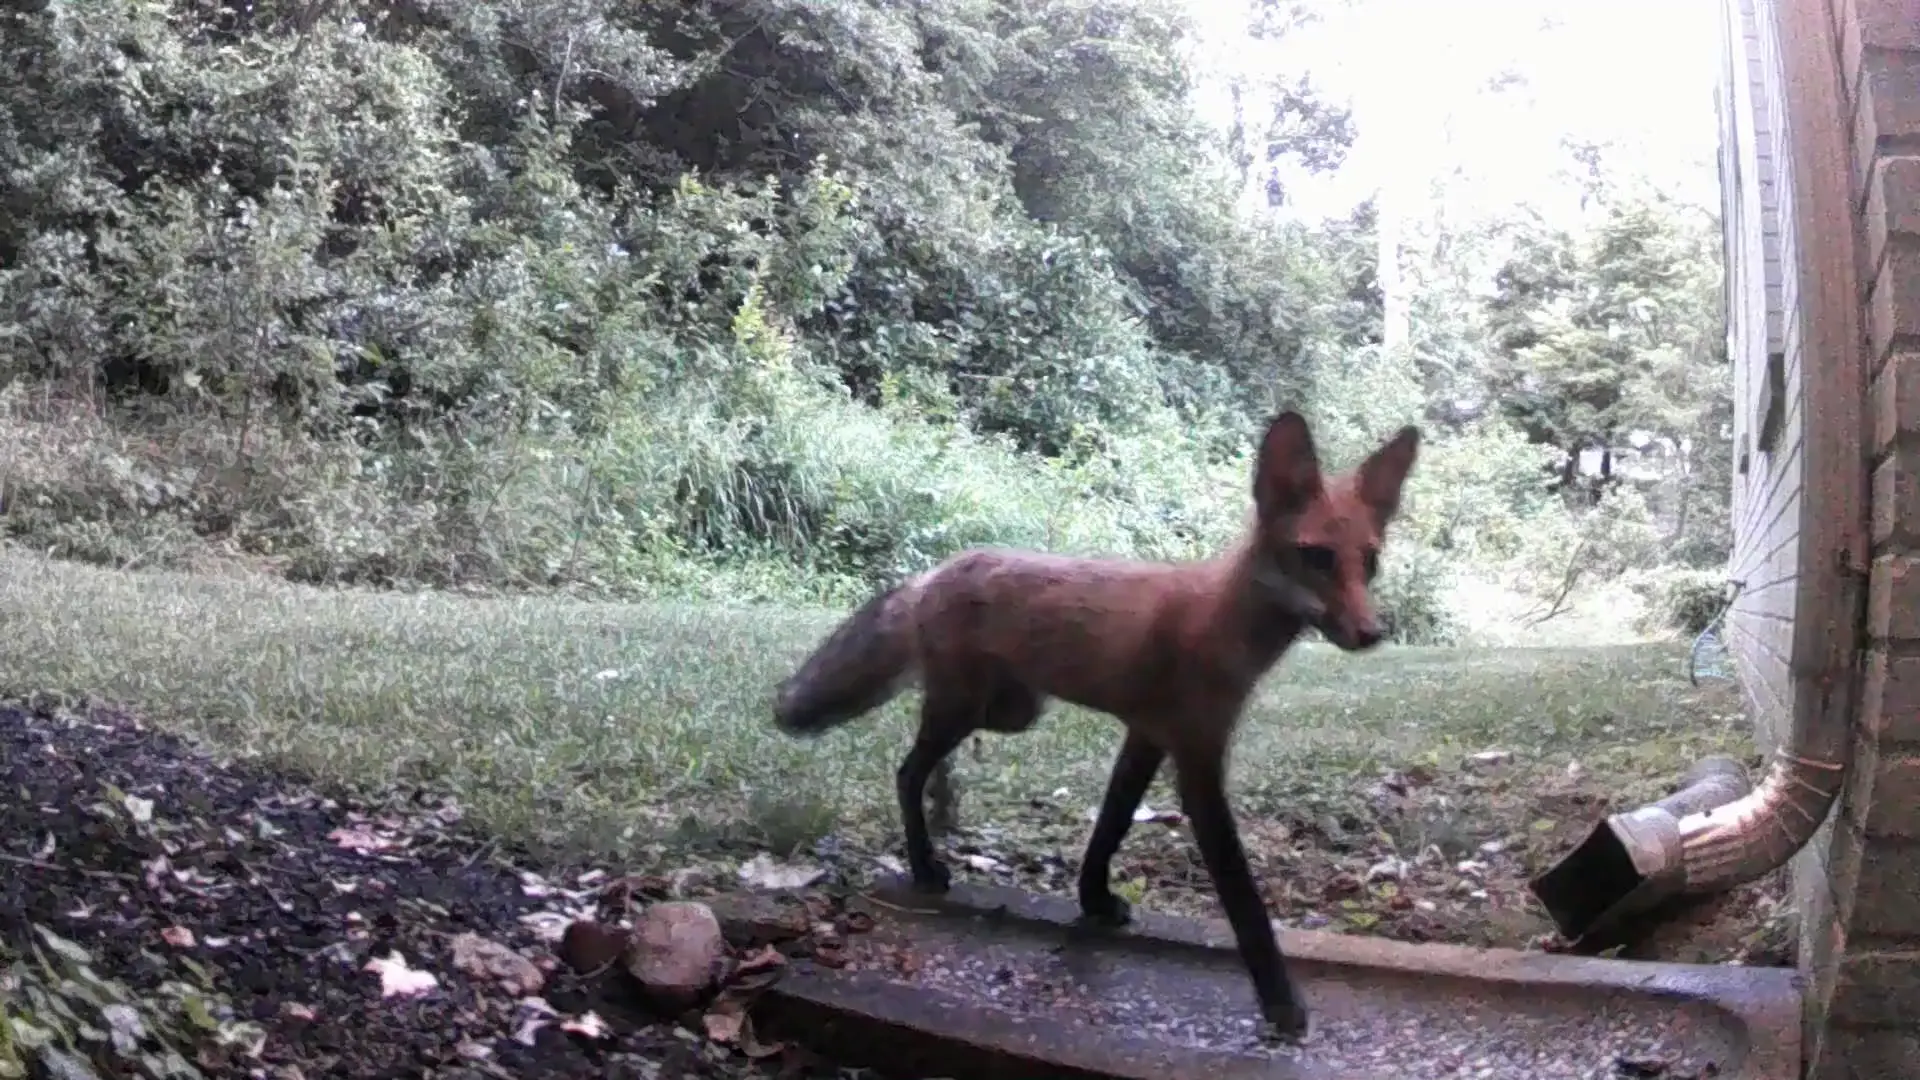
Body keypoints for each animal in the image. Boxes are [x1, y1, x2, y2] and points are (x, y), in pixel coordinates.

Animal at [770, 410, 1420, 1042]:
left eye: (1370, 561)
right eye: (1318, 556)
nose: (1372, 634)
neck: (1221, 627)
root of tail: (935, 571)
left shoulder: (1147, 736)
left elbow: (1111, 824)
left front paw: (1094, 900)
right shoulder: (1197, 759)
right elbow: (1241, 895)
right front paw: (1282, 1005)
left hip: (1007, 713)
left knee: (925, 760)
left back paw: (943, 809)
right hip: (973, 707)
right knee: (906, 768)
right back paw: (926, 862)